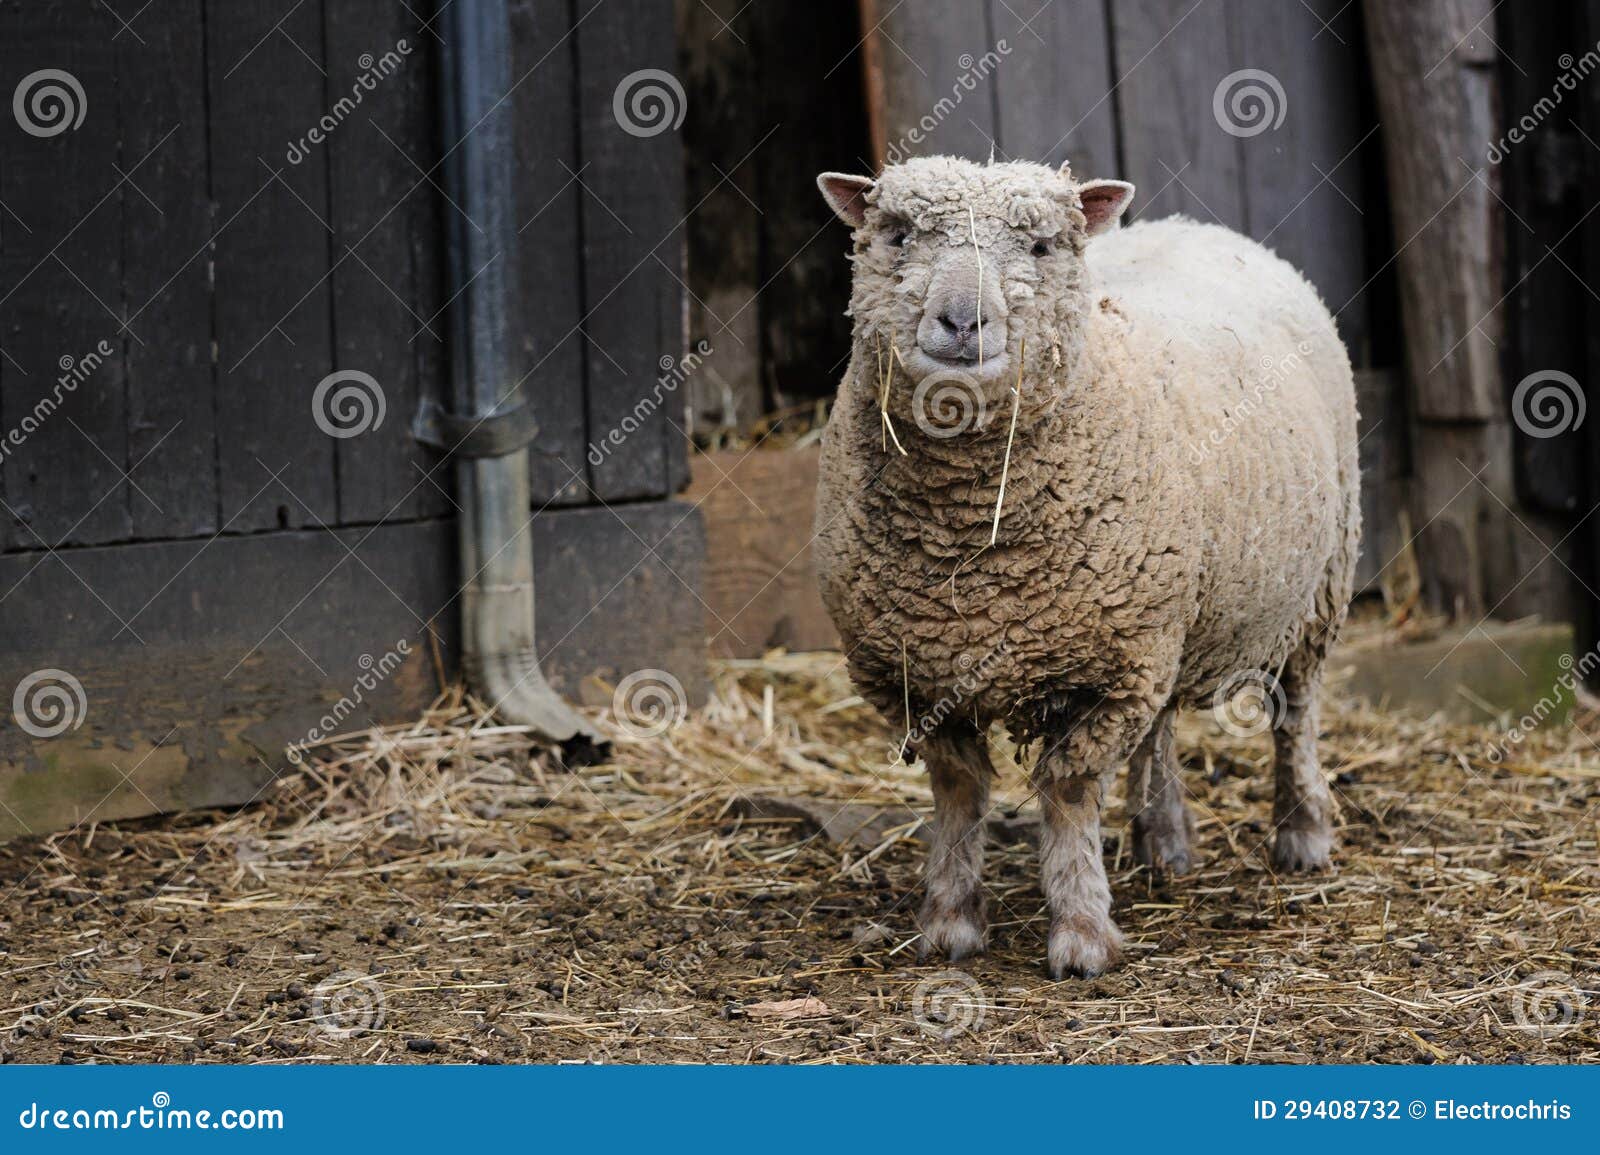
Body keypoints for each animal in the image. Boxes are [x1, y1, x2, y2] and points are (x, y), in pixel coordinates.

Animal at [812, 156, 1359, 978]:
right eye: (899, 234)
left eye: (1041, 246)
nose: (962, 321)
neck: (970, 545)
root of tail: (1196, 226)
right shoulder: (916, 673)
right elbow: (958, 788)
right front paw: (950, 919)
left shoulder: (1110, 668)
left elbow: (1068, 790)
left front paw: (1080, 933)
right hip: (1168, 613)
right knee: (1162, 727)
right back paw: (1165, 841)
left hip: (1318, 585)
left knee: (1296, 713)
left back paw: (1301, 834)